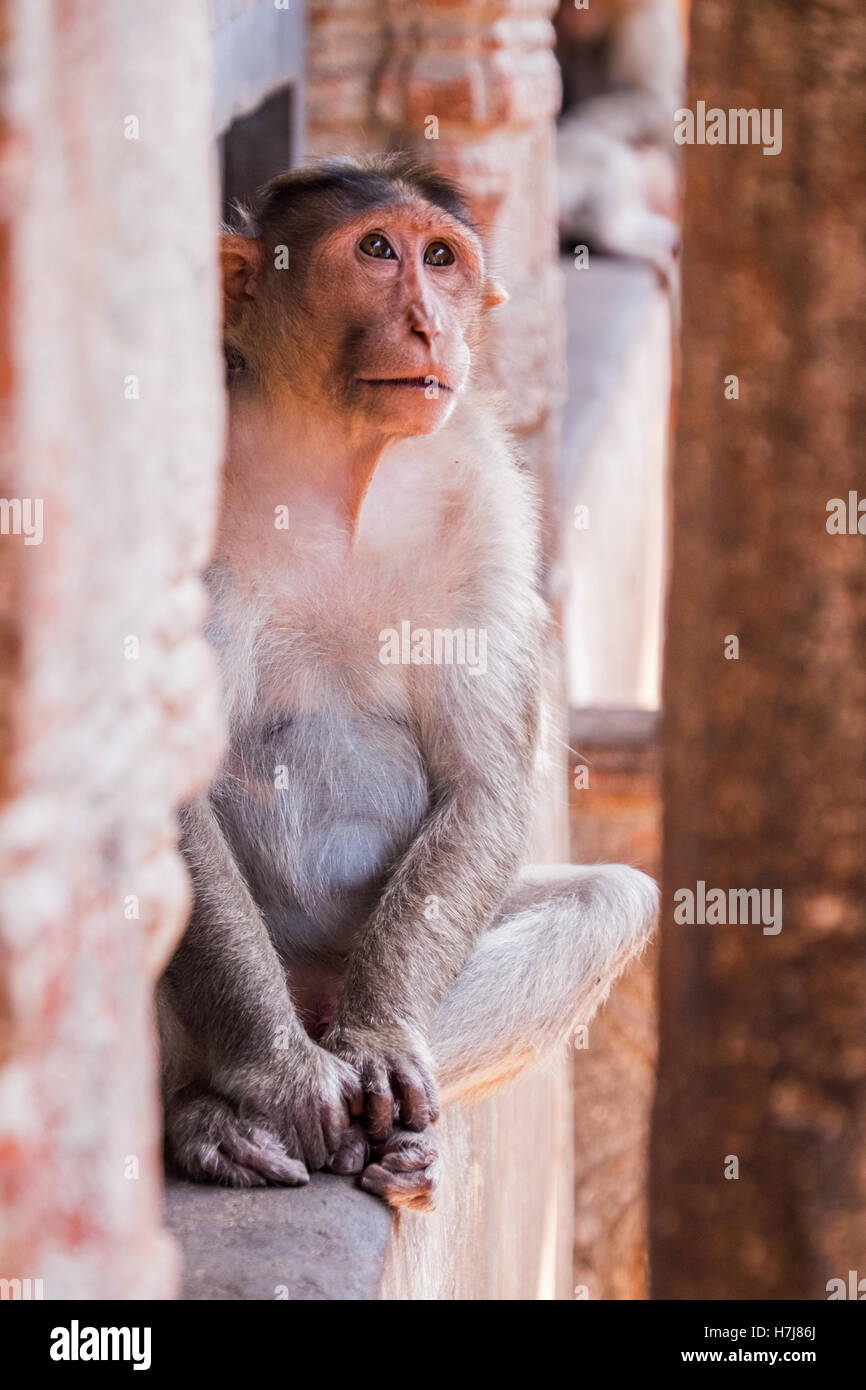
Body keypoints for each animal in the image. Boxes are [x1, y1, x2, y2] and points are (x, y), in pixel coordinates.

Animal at [158, 154, 657, 1212]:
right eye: (378, 250)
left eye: (442, 259)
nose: (433, 324)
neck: (337, 465)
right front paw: (280, 1078)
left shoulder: (491, 494)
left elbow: (483, 786)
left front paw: (384, 1043)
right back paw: (210, 1115)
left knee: (607, 903)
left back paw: (393, 1126)